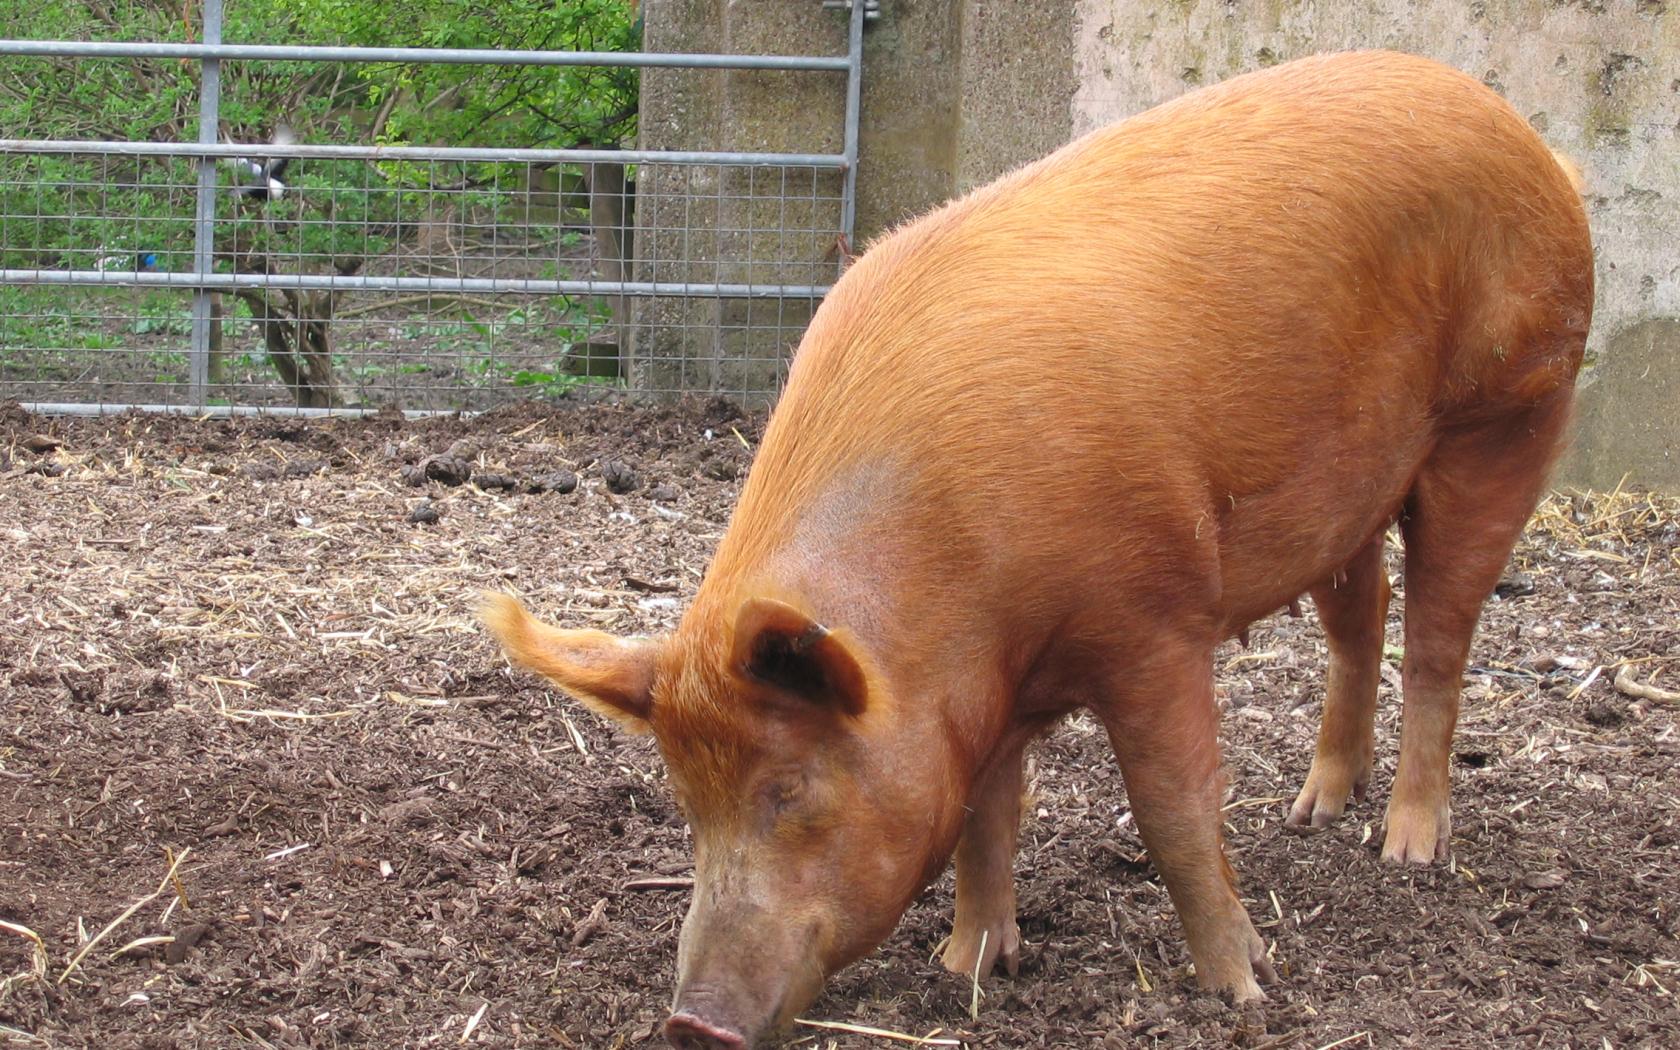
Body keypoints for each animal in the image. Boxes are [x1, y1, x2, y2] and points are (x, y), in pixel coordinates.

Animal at [482, 49, 1591, 1050]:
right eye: (686, 803)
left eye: (789, 790)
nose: (690, 1023)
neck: (966, 607)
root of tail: (1526, 136)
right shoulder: (984, 693)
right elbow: (984, 815)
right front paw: (967, 967)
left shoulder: (1154, 617)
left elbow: (1173, 810)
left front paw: (1240, 991)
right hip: (1348, 490)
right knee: (1361, 619)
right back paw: (1312, 811)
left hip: (1509, 412)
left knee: (1440, 636)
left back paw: (1405, 851)